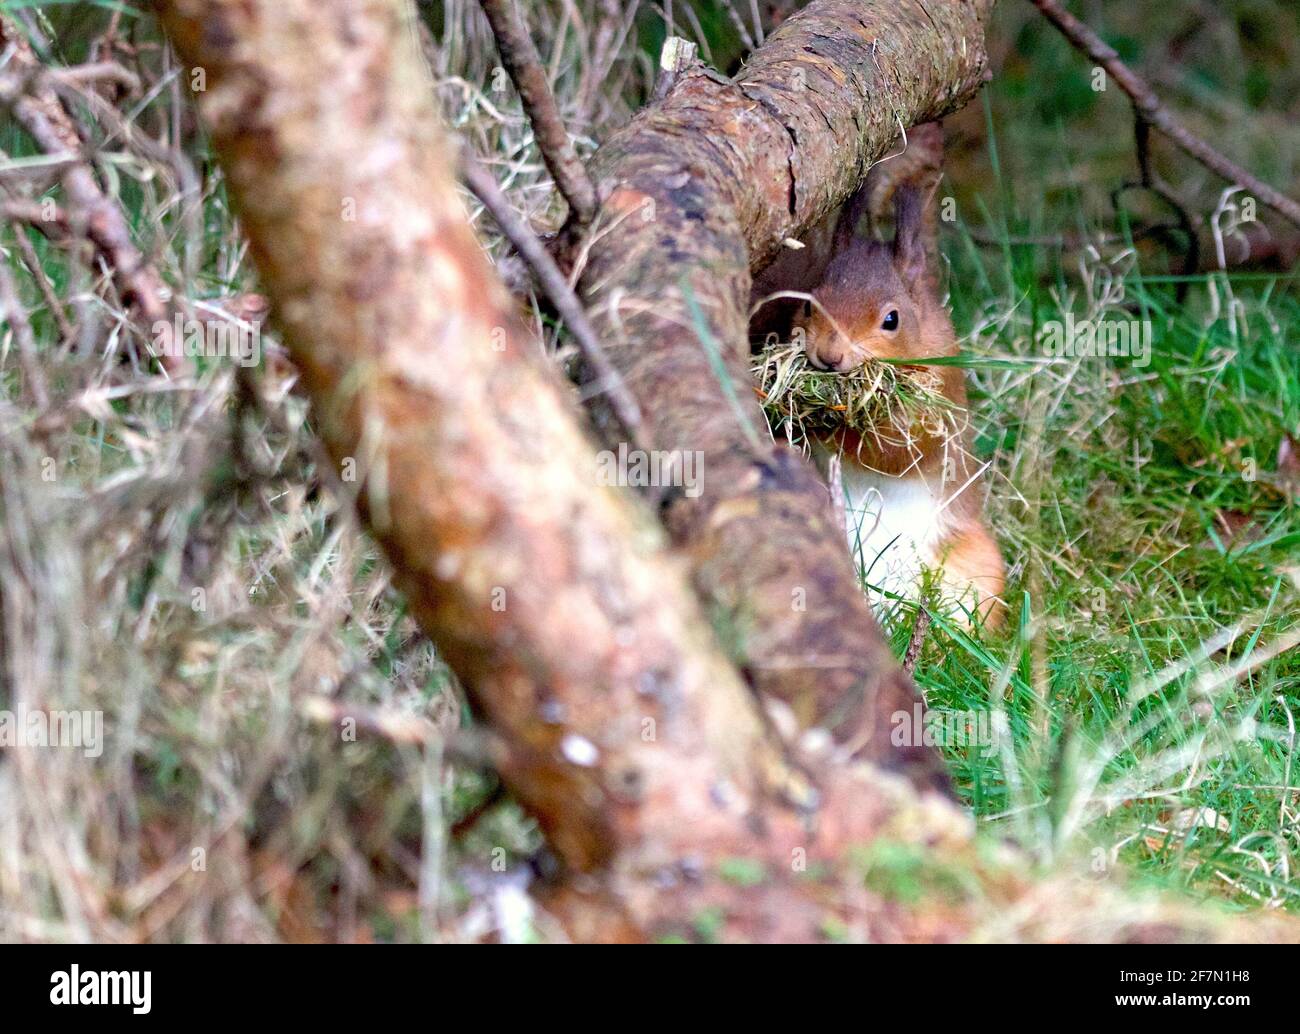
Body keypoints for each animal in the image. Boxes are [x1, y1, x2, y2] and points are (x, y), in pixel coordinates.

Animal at [779, 180, 1007, 629]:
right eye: (809, 304)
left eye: (892, 320)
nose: (829, 357)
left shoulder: (939, 407)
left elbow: (896, 454)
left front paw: (836, 423)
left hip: (976, 565)